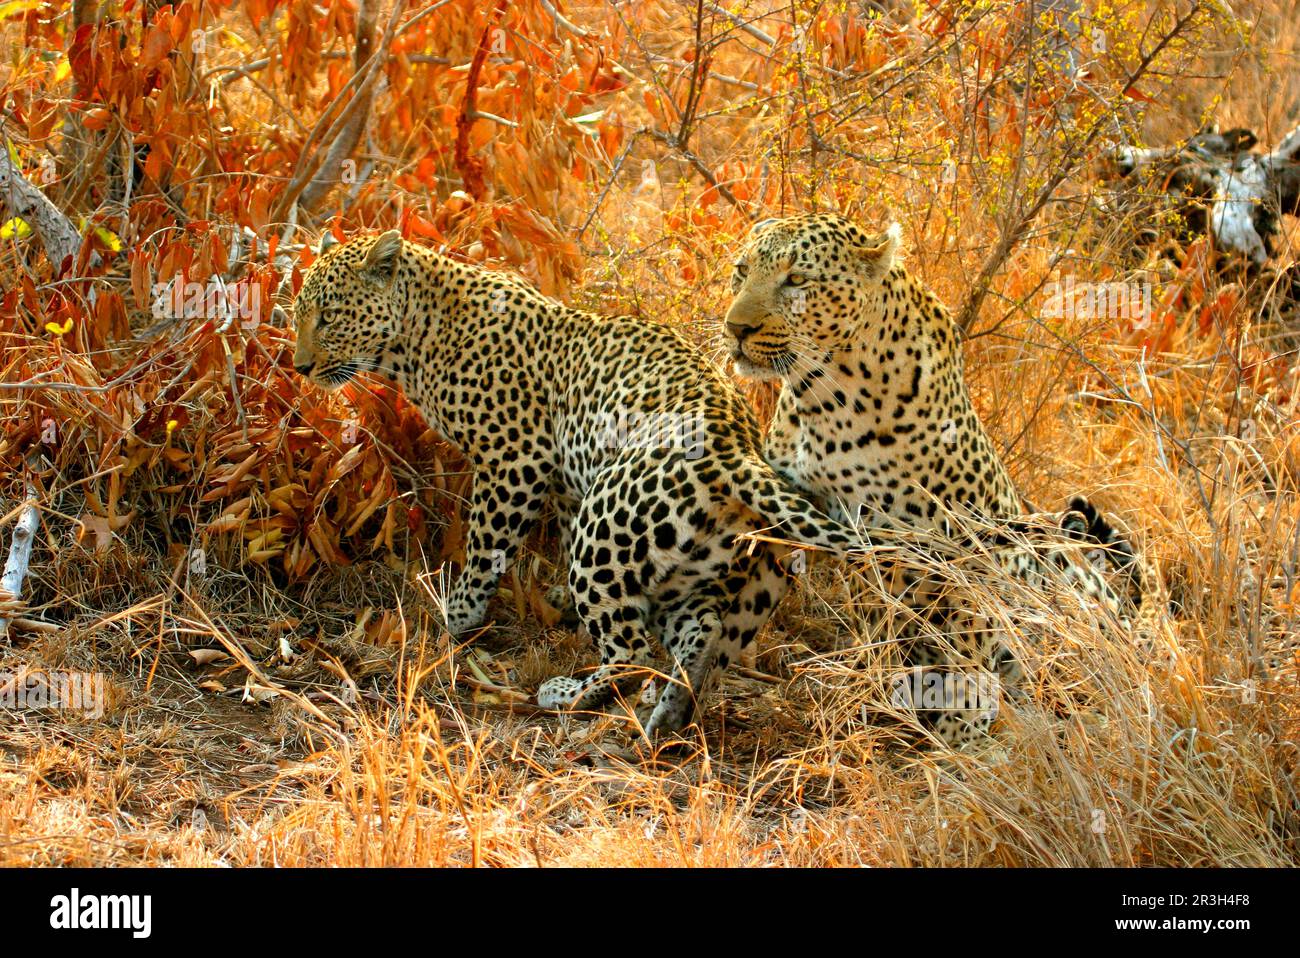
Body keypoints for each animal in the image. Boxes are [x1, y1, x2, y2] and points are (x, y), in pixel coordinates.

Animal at [287, 229, 868, 738]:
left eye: (329, 316)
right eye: (298, 314)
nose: (300, 366)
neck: (416, 338)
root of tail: (737, 448)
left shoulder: (514, 458)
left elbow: (485, 546)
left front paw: (460, 615)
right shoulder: (567, 482)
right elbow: (557, 532)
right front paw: (556, 599)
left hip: (606, 525)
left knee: (631, 653)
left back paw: (566, 694)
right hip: (692, 570)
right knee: (697, 634)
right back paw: (670, 712)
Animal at [721, 212, 1150, 746]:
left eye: (797, 279)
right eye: (741, 270)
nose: (736, 328)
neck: (825, 400)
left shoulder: (962, 544)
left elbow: (971, 633)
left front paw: (964, 725)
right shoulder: (793, 505)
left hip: (1054, 568)